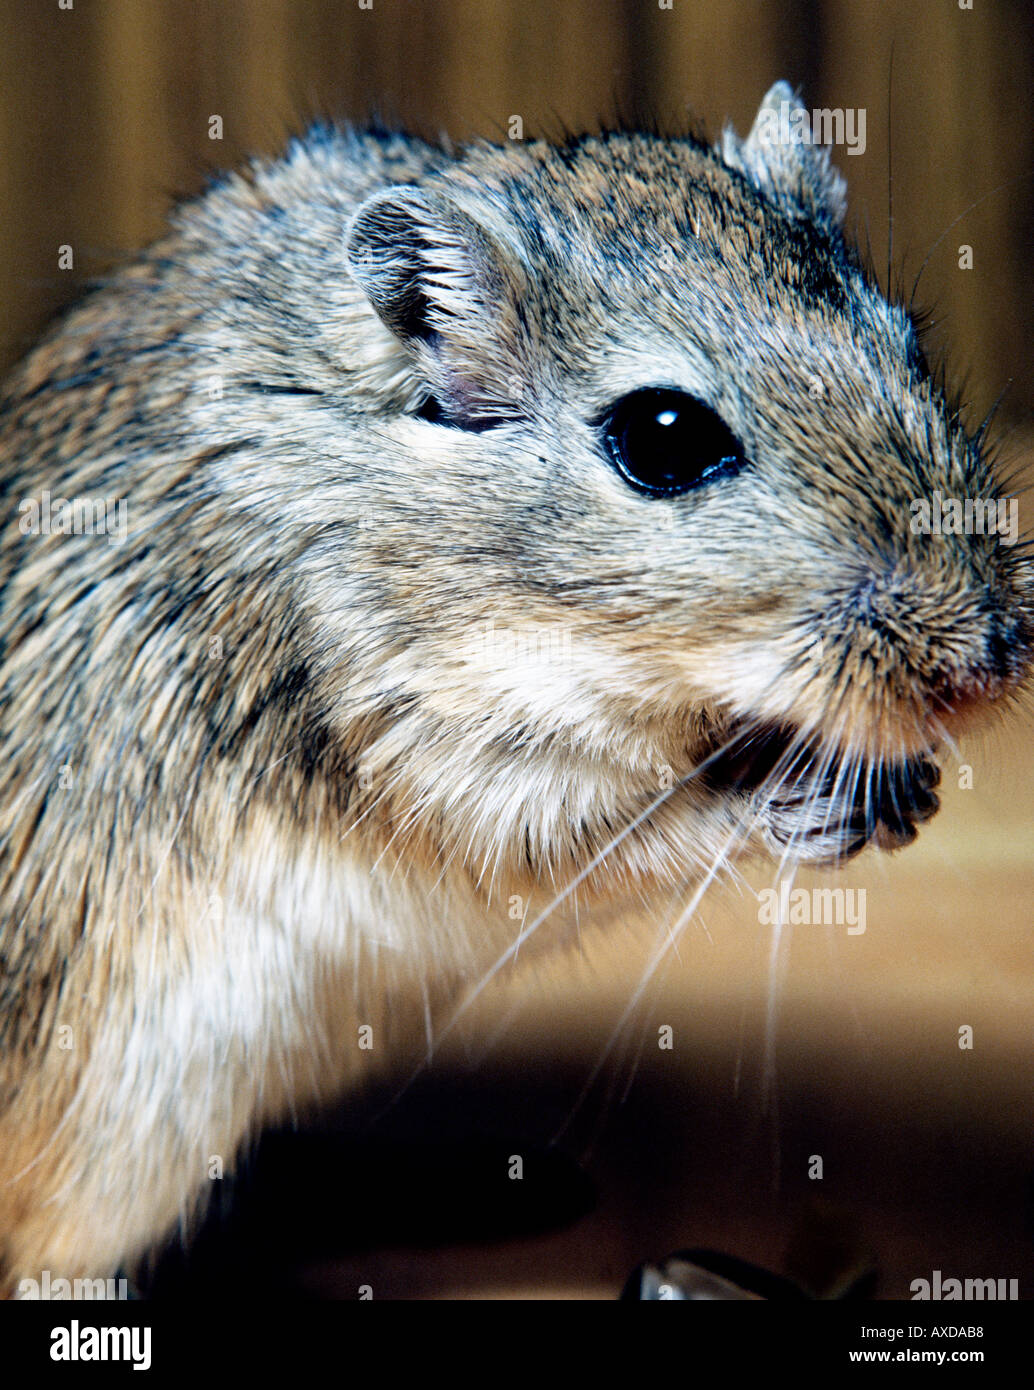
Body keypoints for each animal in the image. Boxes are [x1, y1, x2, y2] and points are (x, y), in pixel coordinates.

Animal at [0, 81, 1030, 1294]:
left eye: (906, 340)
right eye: (663, 440)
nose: (988, 666)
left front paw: (903, 787)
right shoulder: (442, 756)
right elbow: (635, 828)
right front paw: (807, 805)